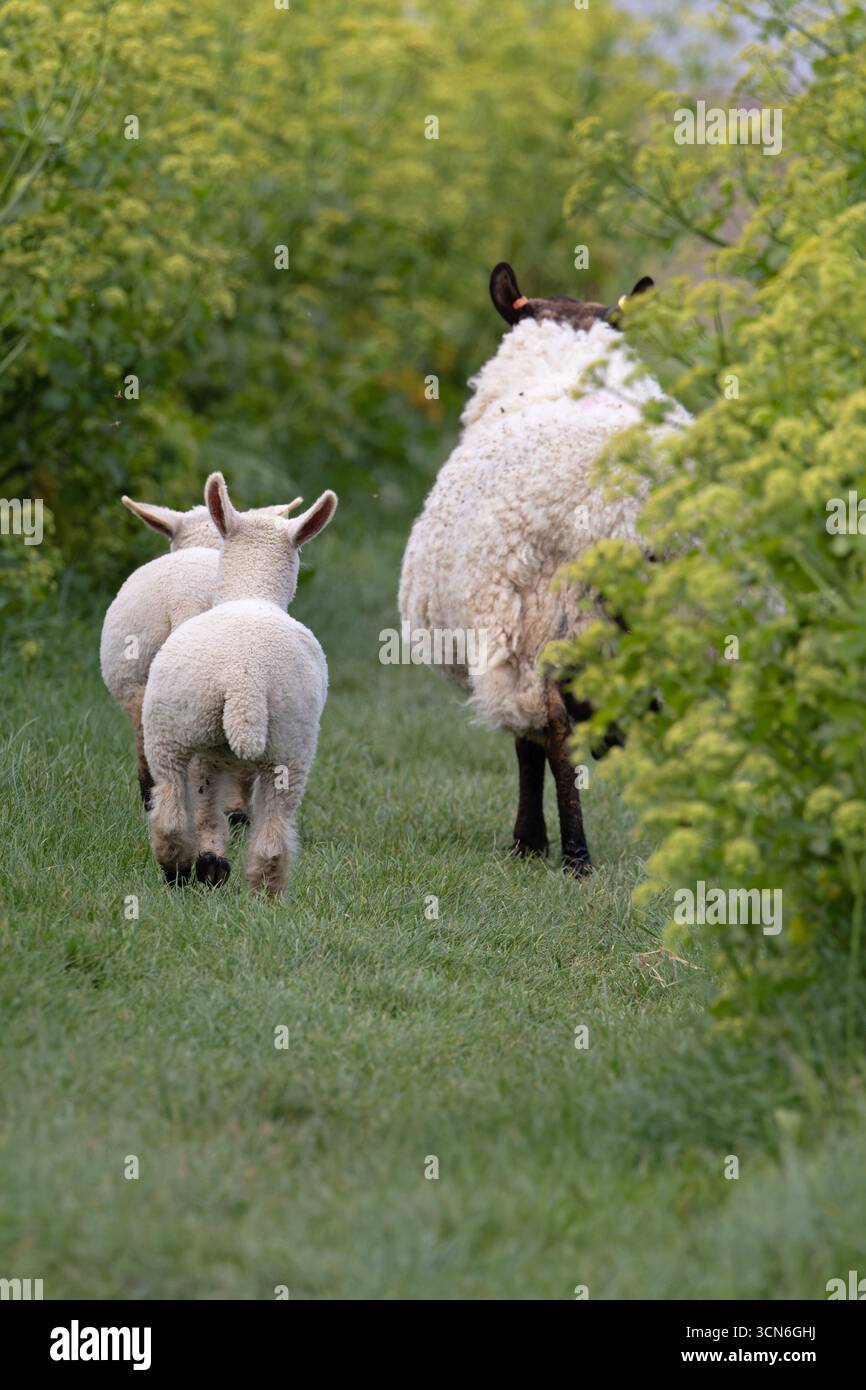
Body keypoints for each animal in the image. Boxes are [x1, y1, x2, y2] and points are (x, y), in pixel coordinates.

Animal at [142, 473, 337, 894]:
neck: (250, 591)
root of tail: (242, 678)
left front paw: (209, 862)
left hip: (176, 732)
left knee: (173, 814)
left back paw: (188, 873)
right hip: (285, 746)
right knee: (268, 830)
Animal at [398, 262, 686, 875]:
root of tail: (623, 512)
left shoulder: (507, 638)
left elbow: (526, 744)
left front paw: (528, 842)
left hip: (546, 619)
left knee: (554, 734)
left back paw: (574, 854)